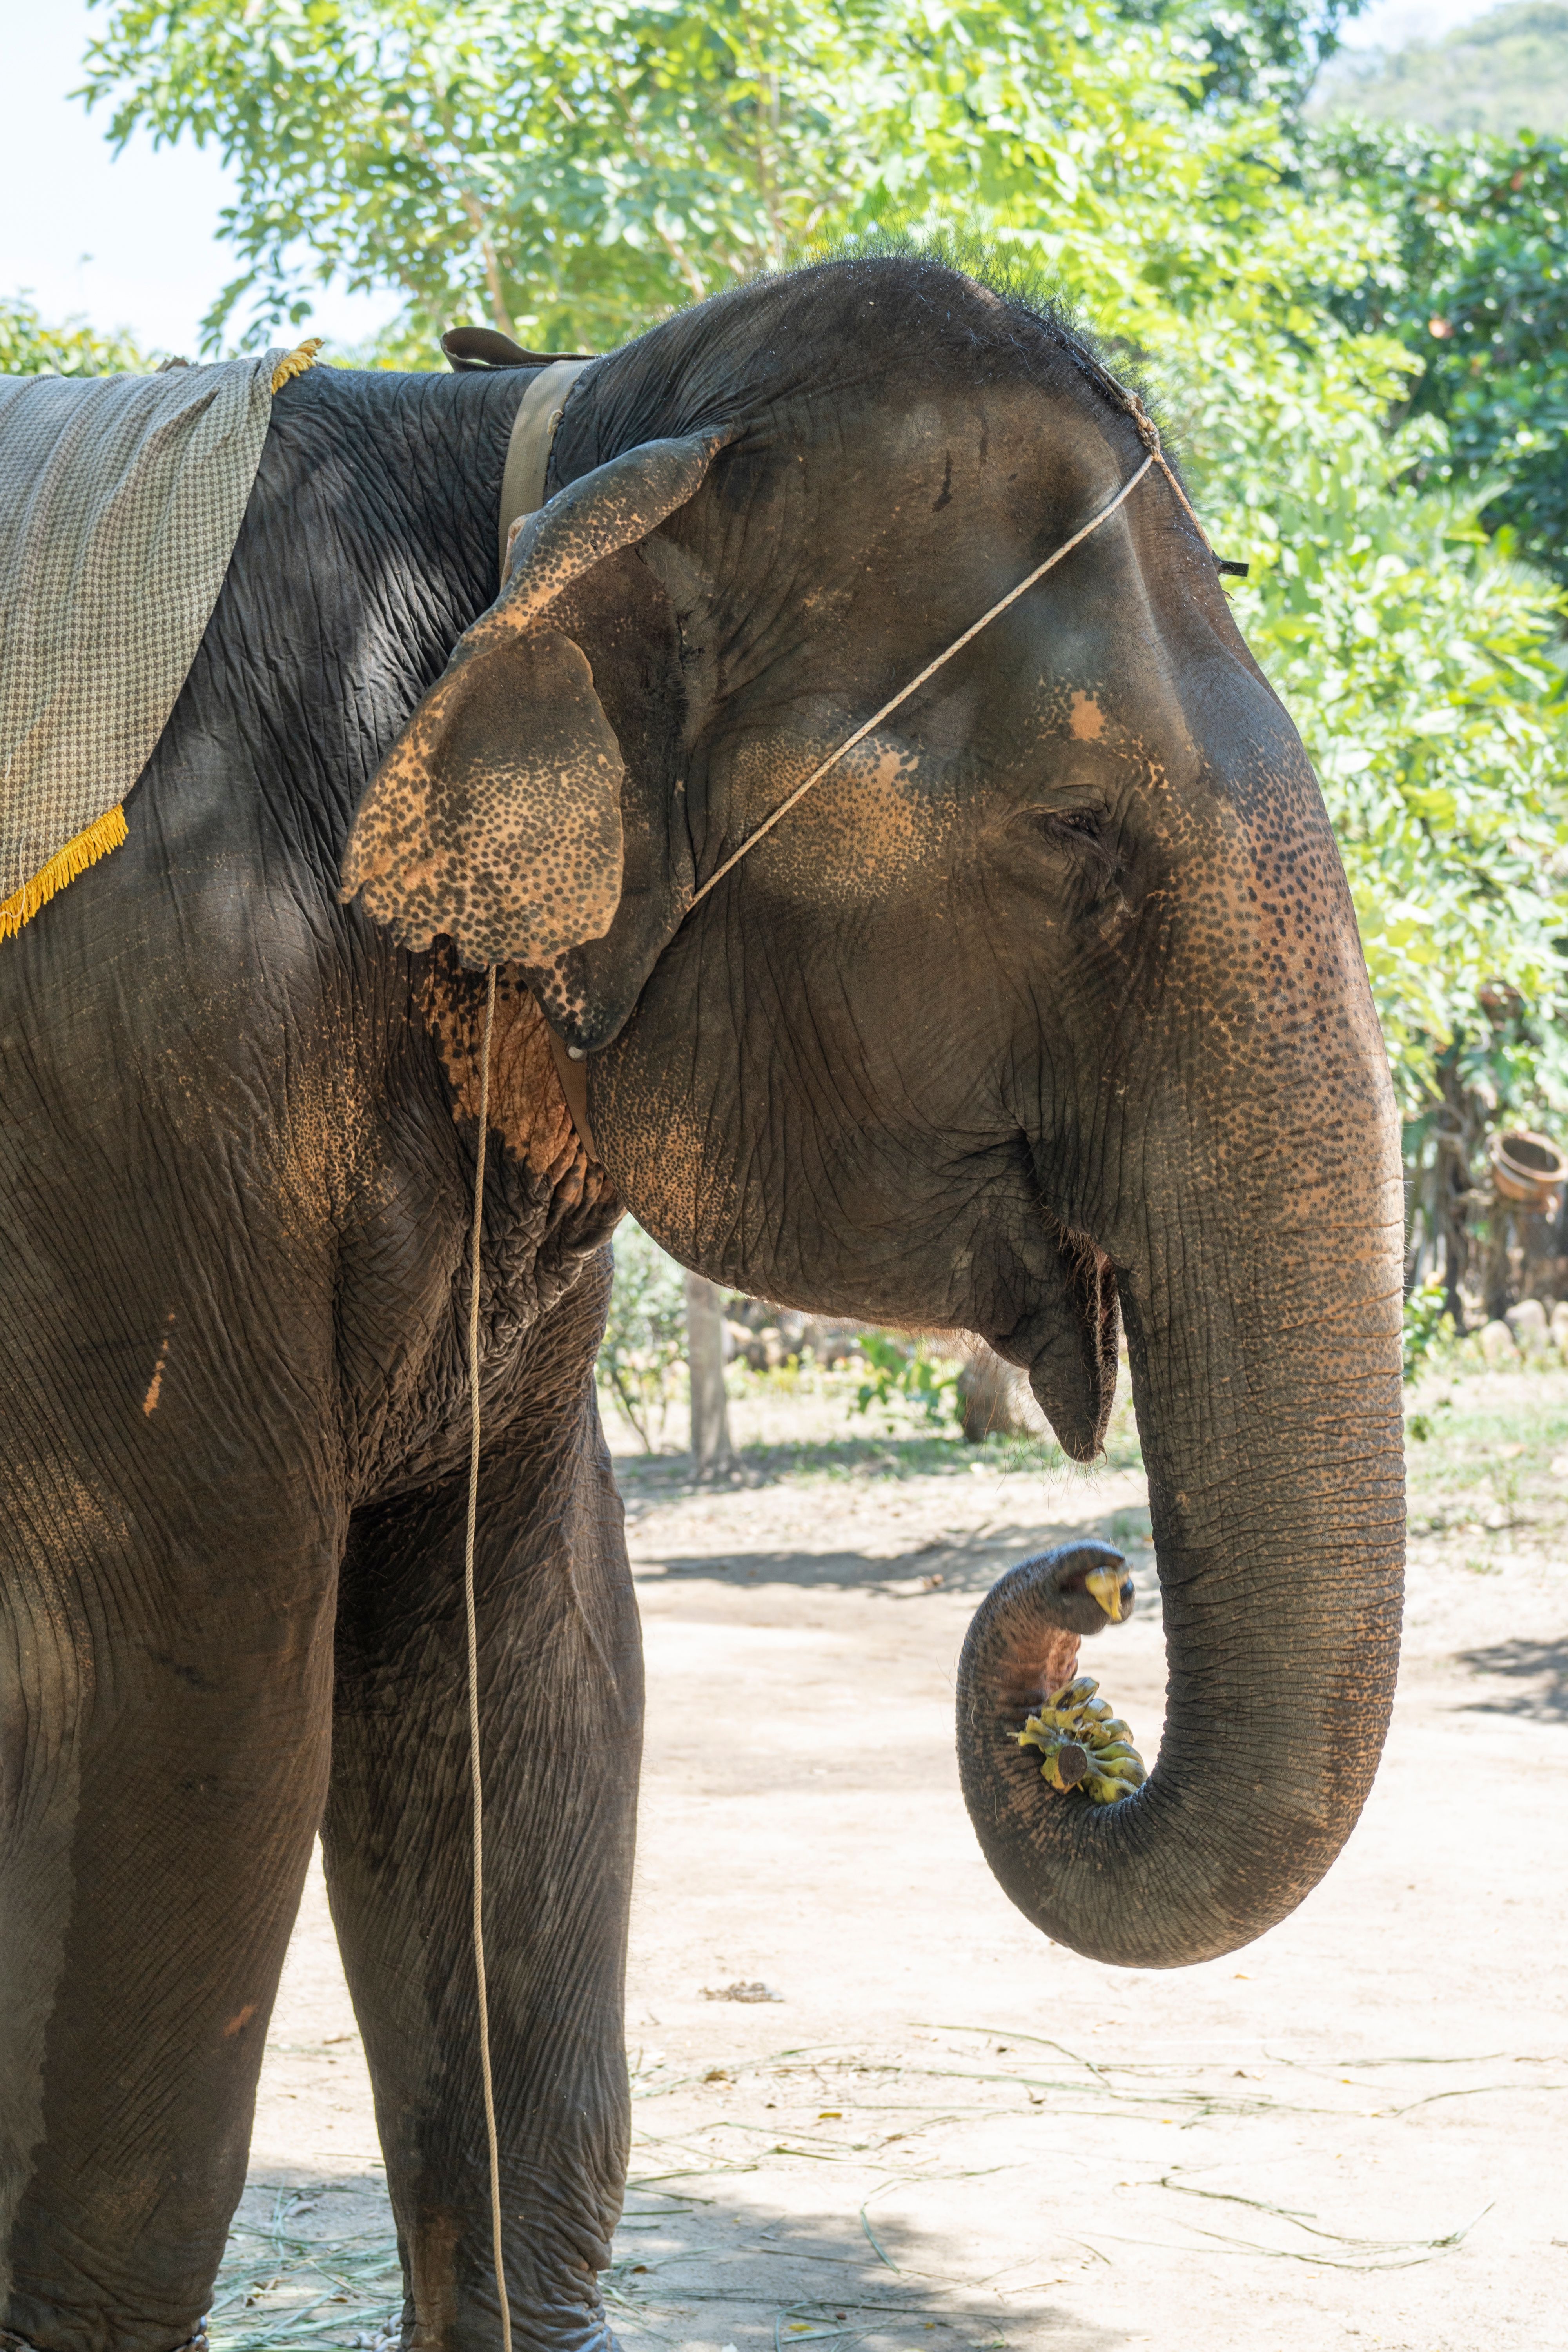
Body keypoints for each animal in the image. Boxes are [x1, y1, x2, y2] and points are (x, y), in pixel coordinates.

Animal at [0, 251, 1404, 2352]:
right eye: (1076, 835)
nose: (1086, 1585)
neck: (545, 450)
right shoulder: (154, 1092)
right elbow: (195, 1689)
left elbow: (525, 1645)